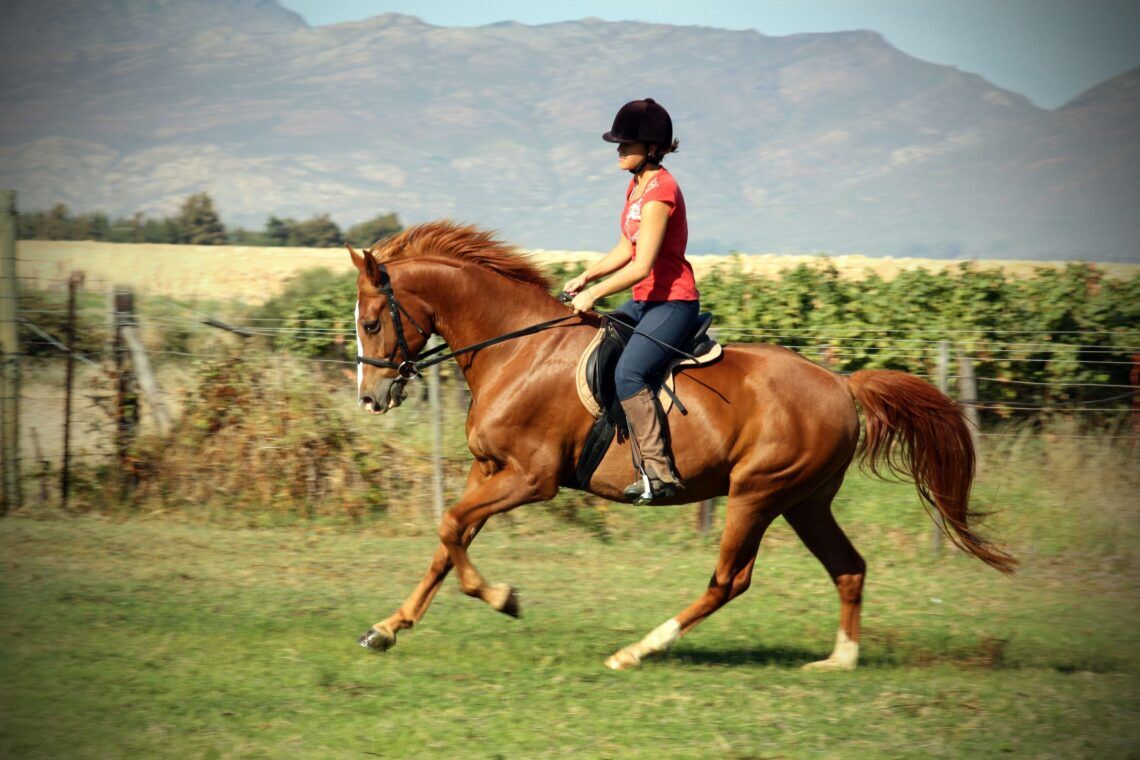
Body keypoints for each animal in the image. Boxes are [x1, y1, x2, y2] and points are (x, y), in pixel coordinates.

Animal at [348, 221, 1016, 671]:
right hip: (805, 501)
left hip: (757, 493)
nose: (371, 399)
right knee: (849, 569)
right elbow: (448, 538)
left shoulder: (531, 478)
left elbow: (452, 529)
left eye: (372, 322)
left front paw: (502, 598)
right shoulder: (487, 469)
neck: (517, 348)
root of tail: (841, 383)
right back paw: (840, 661)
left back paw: (639, 649)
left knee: (730, 580)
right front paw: (388, 628)